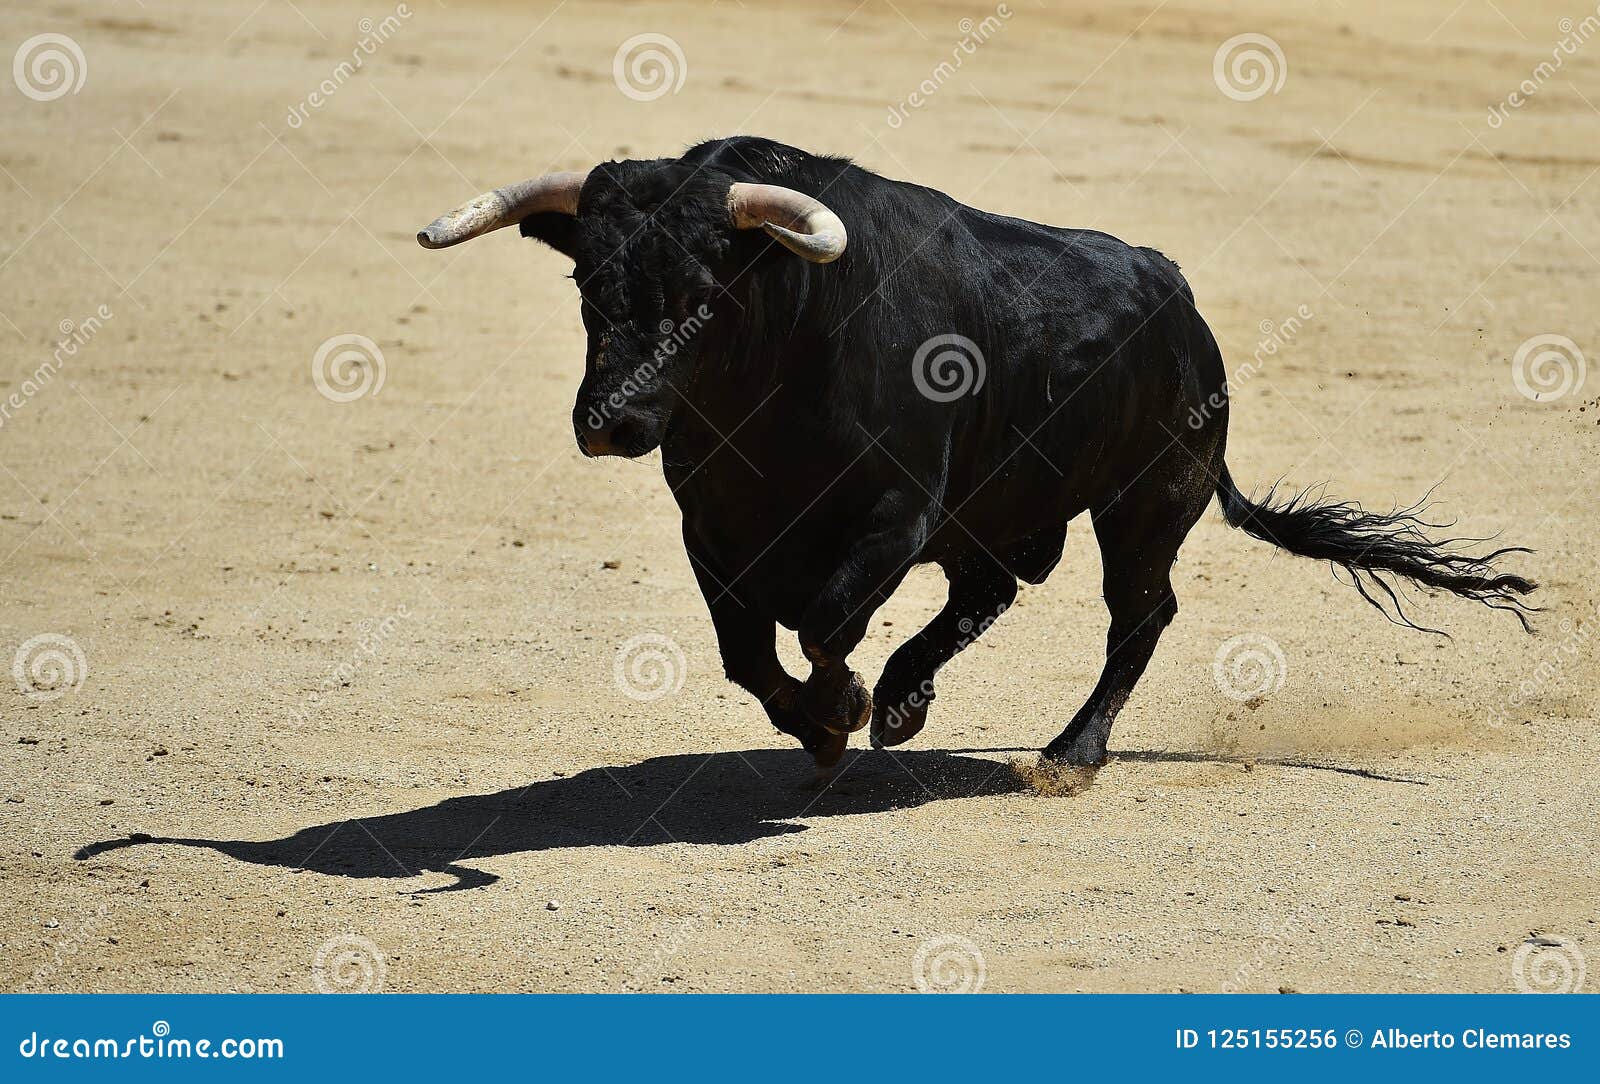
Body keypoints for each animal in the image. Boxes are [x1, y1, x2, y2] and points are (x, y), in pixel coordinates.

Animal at [418, 136, 1536, 770]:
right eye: (586, 288)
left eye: (702, 296)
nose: (608, 422)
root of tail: (1183, 309)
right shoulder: (711, 523)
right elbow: (747, 649)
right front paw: (829, 722)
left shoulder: (896, 511)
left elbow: (823, 620)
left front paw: (843, 705)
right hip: (999, 511)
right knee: (991, 588)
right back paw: (911, 701)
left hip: (1144, 502)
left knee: (1140, 615)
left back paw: (1067, 753)